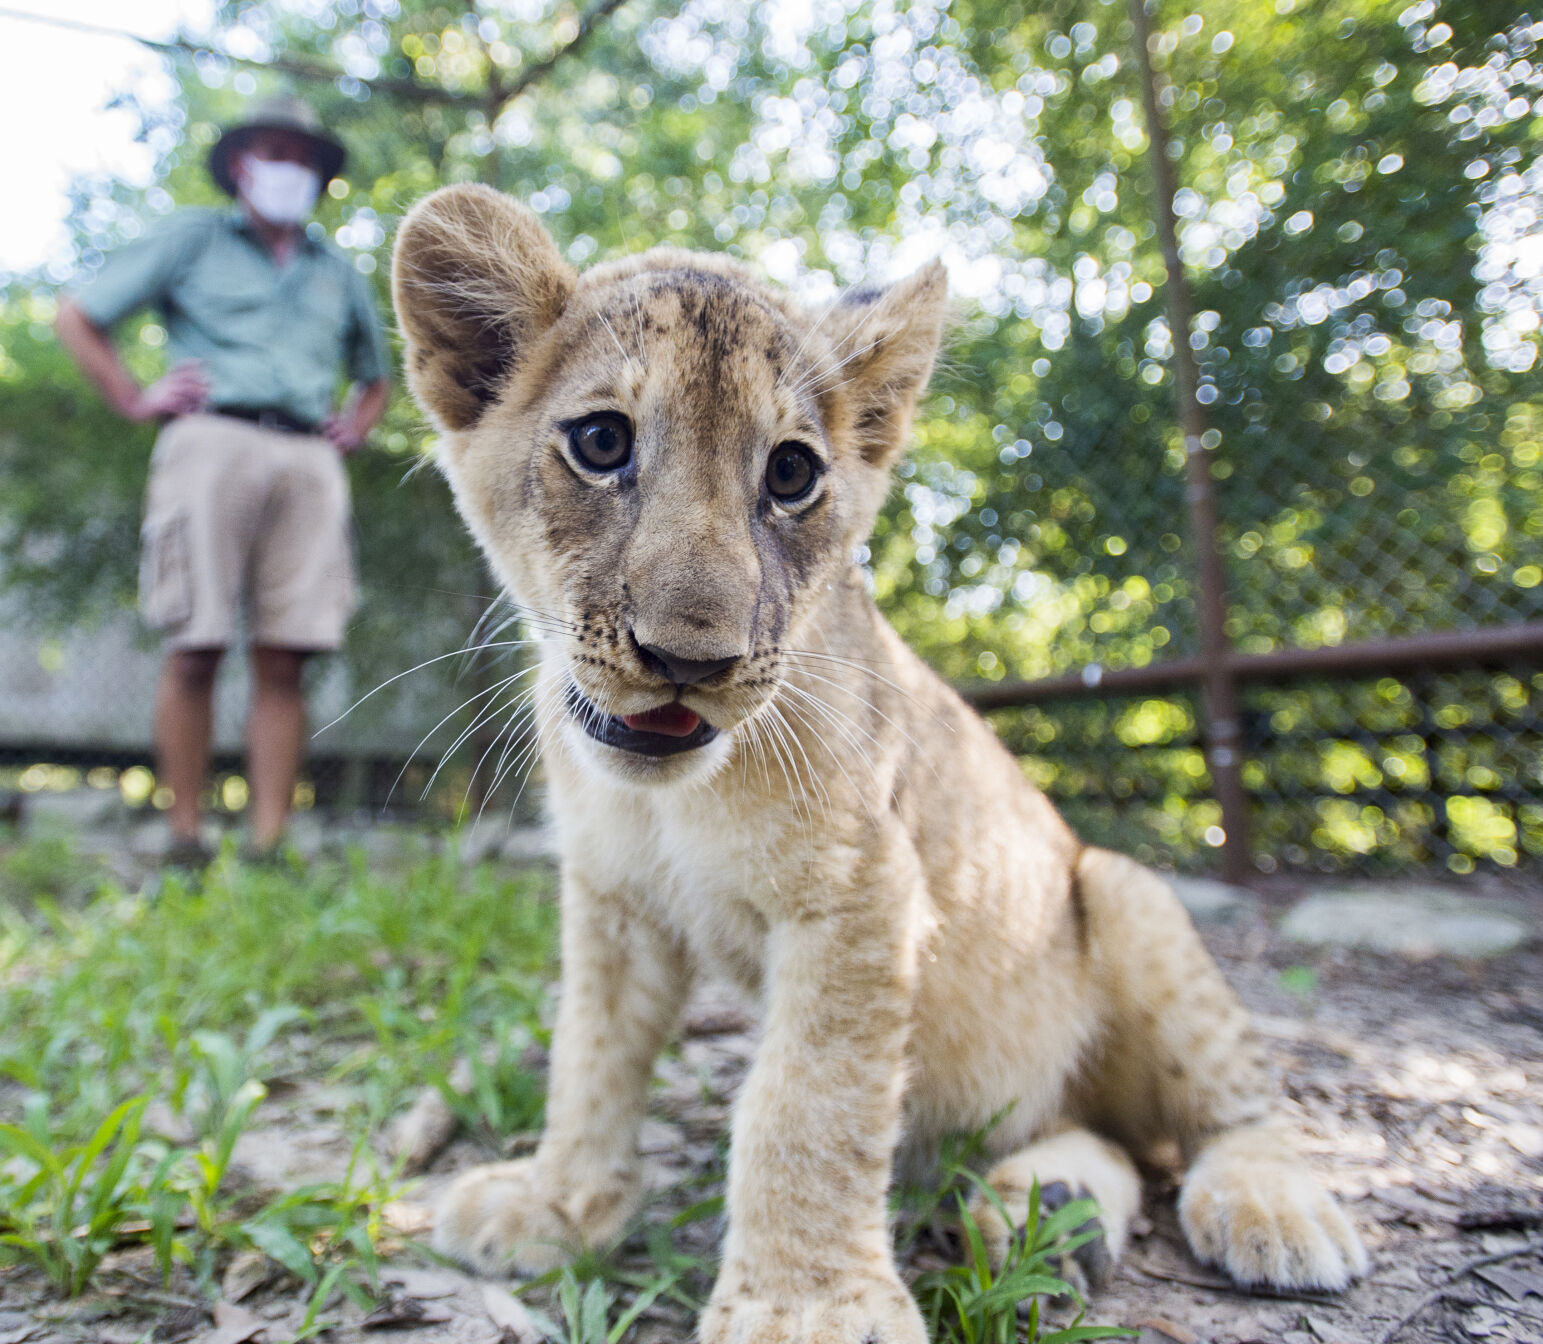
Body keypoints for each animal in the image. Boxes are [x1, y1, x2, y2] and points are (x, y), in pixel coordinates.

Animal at [390, 184, 1367, 1342]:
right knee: (1105, 1139)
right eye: (599, 441)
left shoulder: (865, 894)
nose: (689, 659)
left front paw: (808, 1308)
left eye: (790, 472)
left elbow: (808, 1100)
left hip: (1124, 894)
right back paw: (1053, 1211)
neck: (672, 803)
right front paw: (557, 1204)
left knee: (1226, 1114)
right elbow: (589, 1057)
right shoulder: (614, 900)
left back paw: (1269, 1210)